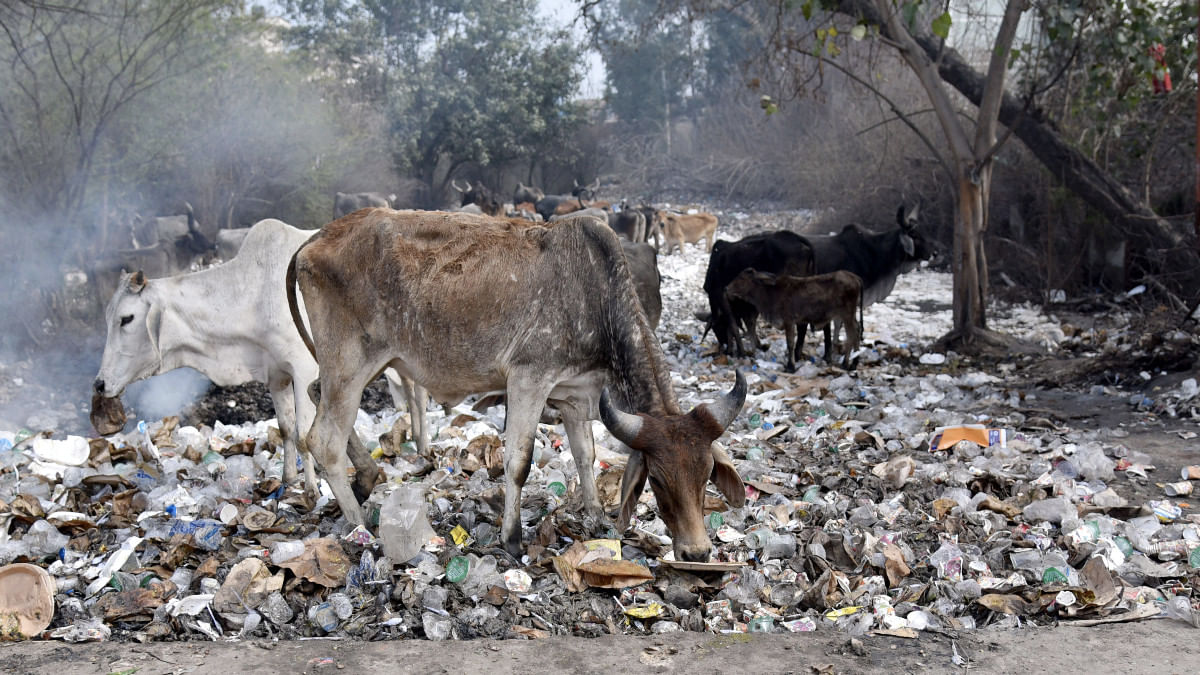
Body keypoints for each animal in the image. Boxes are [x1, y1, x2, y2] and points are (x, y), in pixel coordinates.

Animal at [92, 218, 428, 503]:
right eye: (107, 317)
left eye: (127, 318)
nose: (100, 384)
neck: (252, 295)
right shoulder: (276, 374)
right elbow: (285, 427)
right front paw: (288, 480)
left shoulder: (303, 369)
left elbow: (303, 434)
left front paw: (312, 488)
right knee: (411, 391)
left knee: (419, 396)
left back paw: (424, 446)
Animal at [286, 209, 746, 561]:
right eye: (660, 481)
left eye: (707, 475)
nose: (697, 552)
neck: (595, 291)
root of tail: (318, 236)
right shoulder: (528, 378)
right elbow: (518, 463)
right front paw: (511, 537)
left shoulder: (577, 394)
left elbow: (586, 455)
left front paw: (597, 517)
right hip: (349, 364)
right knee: (323, 439)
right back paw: (358, 524)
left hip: (357, 366)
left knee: (315, 394)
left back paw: (366, 478)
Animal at [725, 269, 864, 371]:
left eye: (742, 279)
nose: (726, 288)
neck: (771, 294)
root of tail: (855, 277)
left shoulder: (789, 321)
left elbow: (790, 343)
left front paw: (790, 366)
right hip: (849, 315)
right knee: (857, 331)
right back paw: (854, 363)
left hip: (846, 314)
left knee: (852, 335)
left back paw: (846, 363)